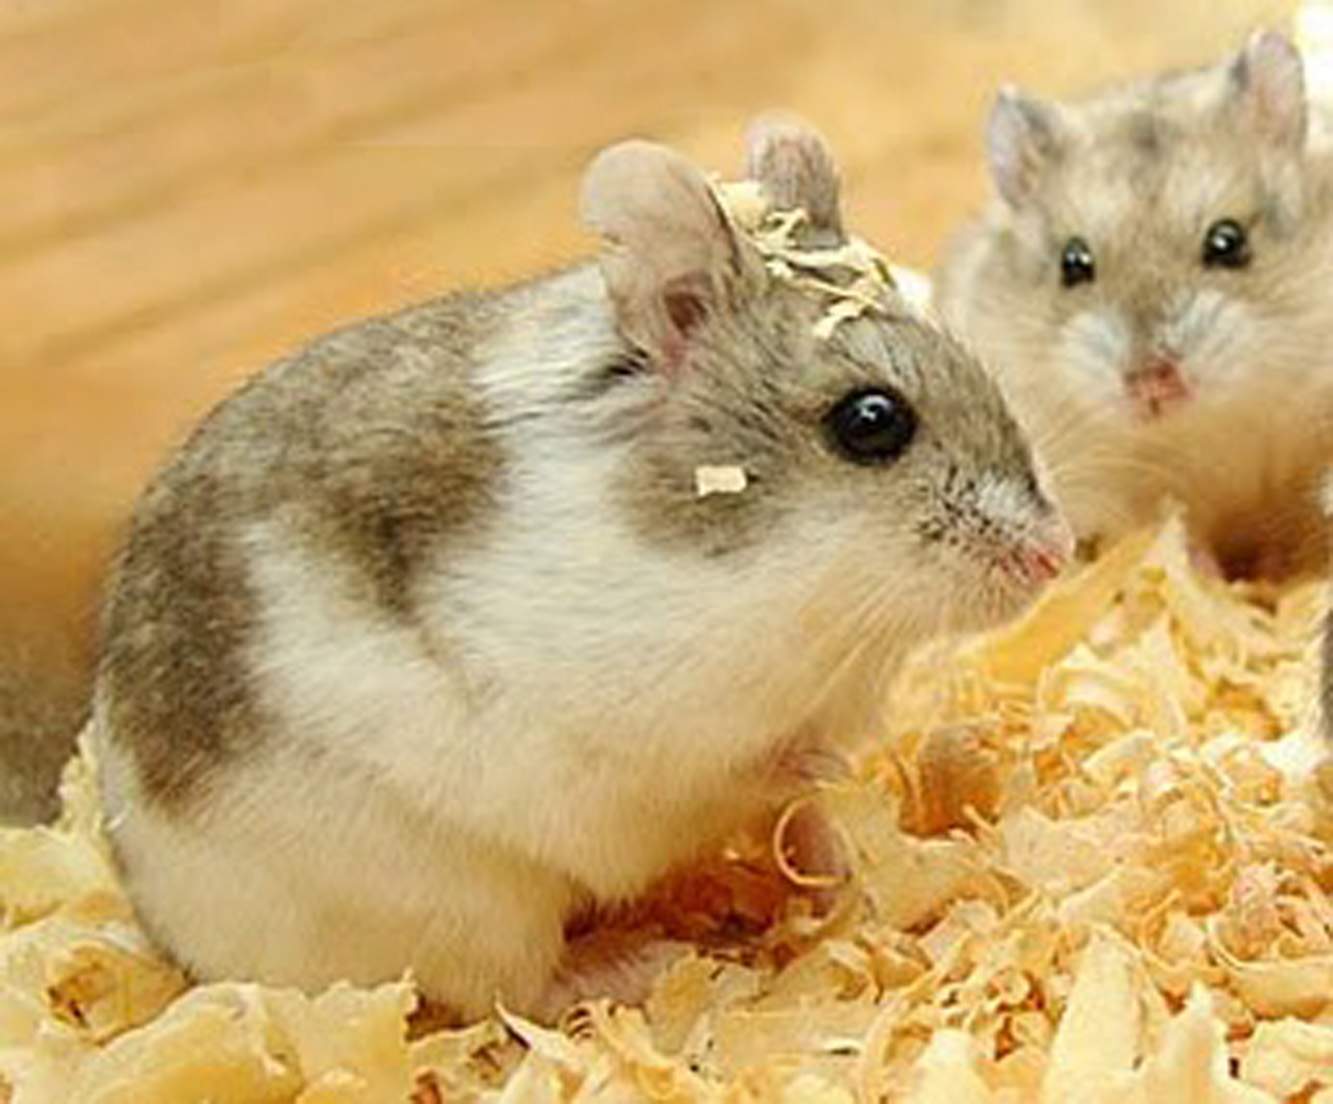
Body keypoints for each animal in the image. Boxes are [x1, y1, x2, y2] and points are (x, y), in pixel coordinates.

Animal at [92, 117, 1071, 1021]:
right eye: (870, 421)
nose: (1053, 555)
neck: (784, 584)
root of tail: (168, 932)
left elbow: (796, 818)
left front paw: (844, 870)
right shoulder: (654, 735)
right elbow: (758, 769)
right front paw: (828, 772)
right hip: (455, 899)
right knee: (517, 990)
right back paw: (652, 958)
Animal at [936, 30, 1333, 578]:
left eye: (1228, 241)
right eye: (1073, 263)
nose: (1152, 383)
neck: (1205, 426)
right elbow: (1160, 527)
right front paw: (1203, 572)